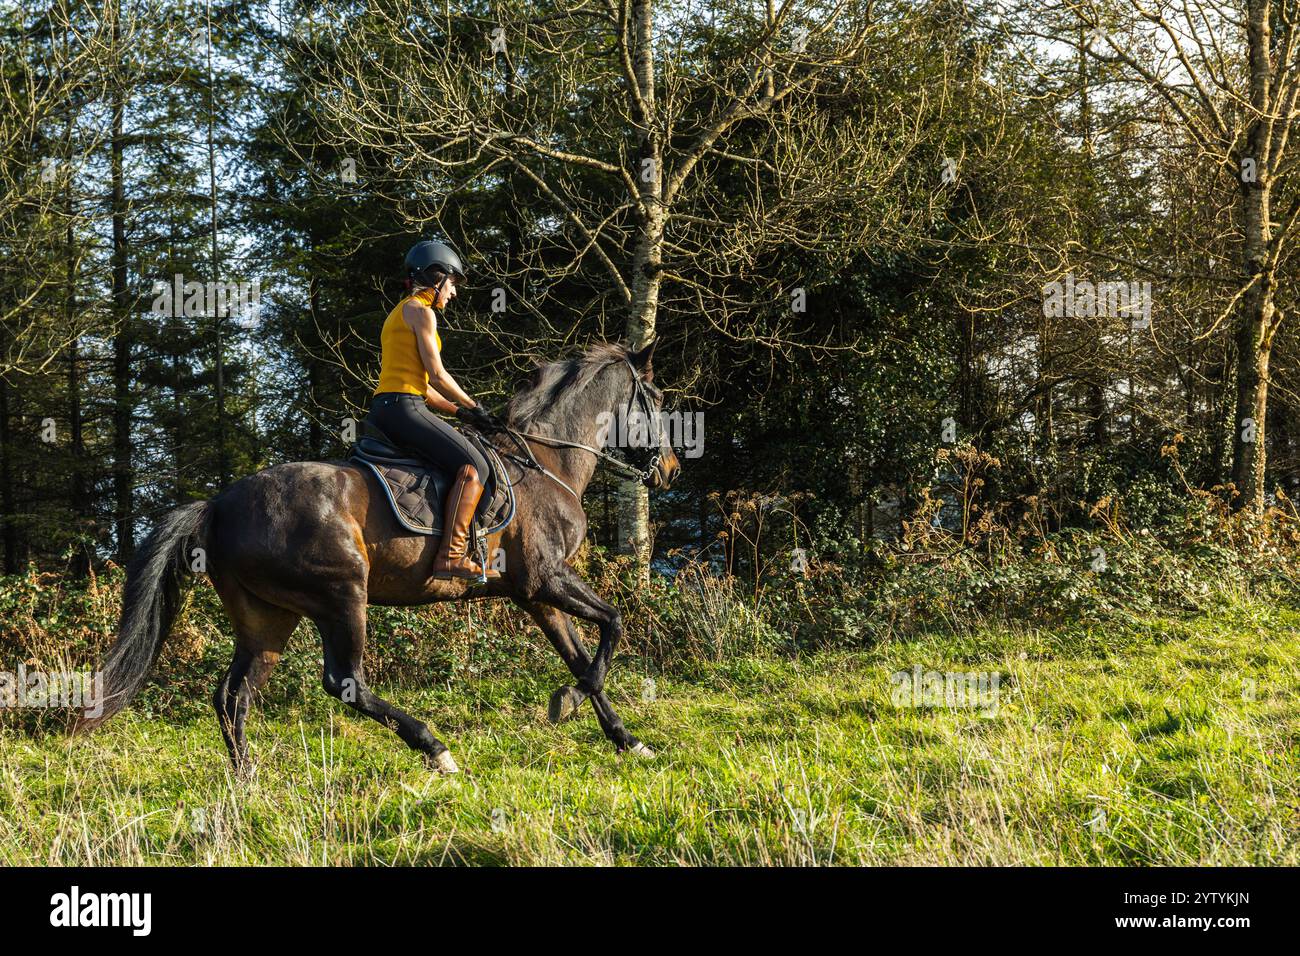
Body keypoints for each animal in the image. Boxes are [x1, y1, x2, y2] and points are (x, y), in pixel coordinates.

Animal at [75, 340, 681, 774]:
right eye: (656, 399)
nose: (671, 469)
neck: (545, 460)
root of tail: (219, 504)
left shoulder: (534, 594)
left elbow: (581, 657)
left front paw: (625, 739)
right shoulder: (546, 579)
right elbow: (614, 625)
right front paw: (570, 703)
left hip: (267, 618)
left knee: (233, 696)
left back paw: (246, 780)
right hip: (344, 595)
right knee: (343, 681)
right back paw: (435, 748)